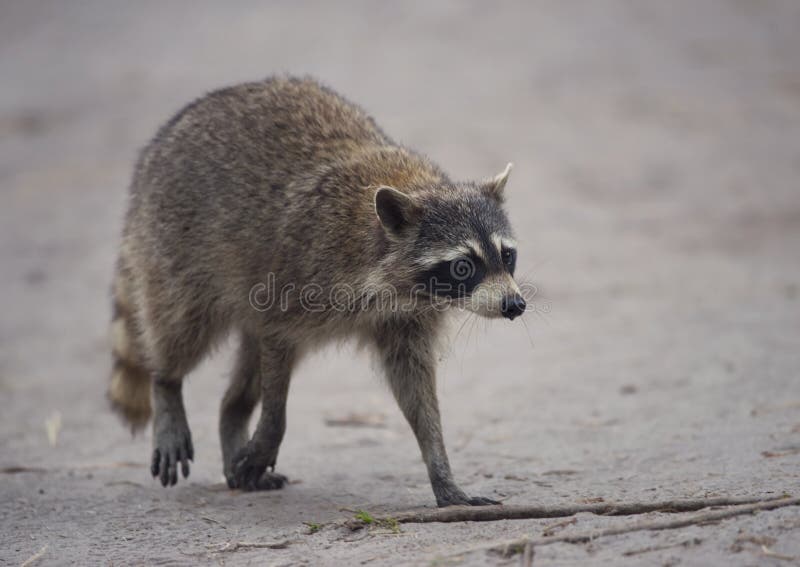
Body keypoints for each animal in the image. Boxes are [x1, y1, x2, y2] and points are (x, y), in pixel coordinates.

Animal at [109, 76, 526, 507]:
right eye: (463, 266)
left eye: (507, 256)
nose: (514, 304)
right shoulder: (295, 281)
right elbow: (277, 353)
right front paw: (269, 430)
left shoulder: (406, 319)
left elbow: (414, 385)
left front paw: (439, 466)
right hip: (177, 245)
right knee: (182, 326)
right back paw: (167, 383)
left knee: (242, 368)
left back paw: (232, 414)